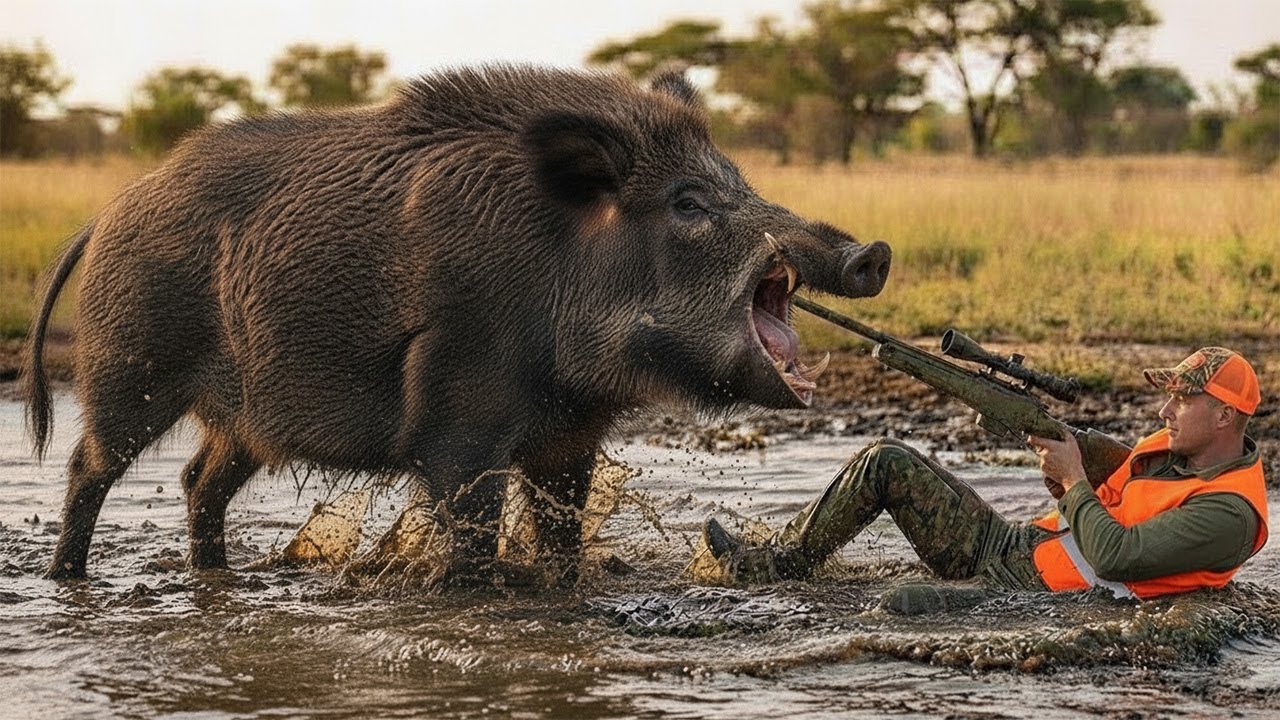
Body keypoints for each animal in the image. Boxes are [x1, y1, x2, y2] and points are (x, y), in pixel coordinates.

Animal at [24, 65, 890, 583]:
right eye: (688, 202)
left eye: (738, 180)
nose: (870, 252)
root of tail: (106, 214)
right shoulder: (458, 427)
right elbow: (472, 537)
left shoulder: (570, 438)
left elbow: (561, 530)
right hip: (128, 369)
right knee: (88, 467)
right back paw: (68, 577)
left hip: (241, 418)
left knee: (198, 479)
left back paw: (215, 574)